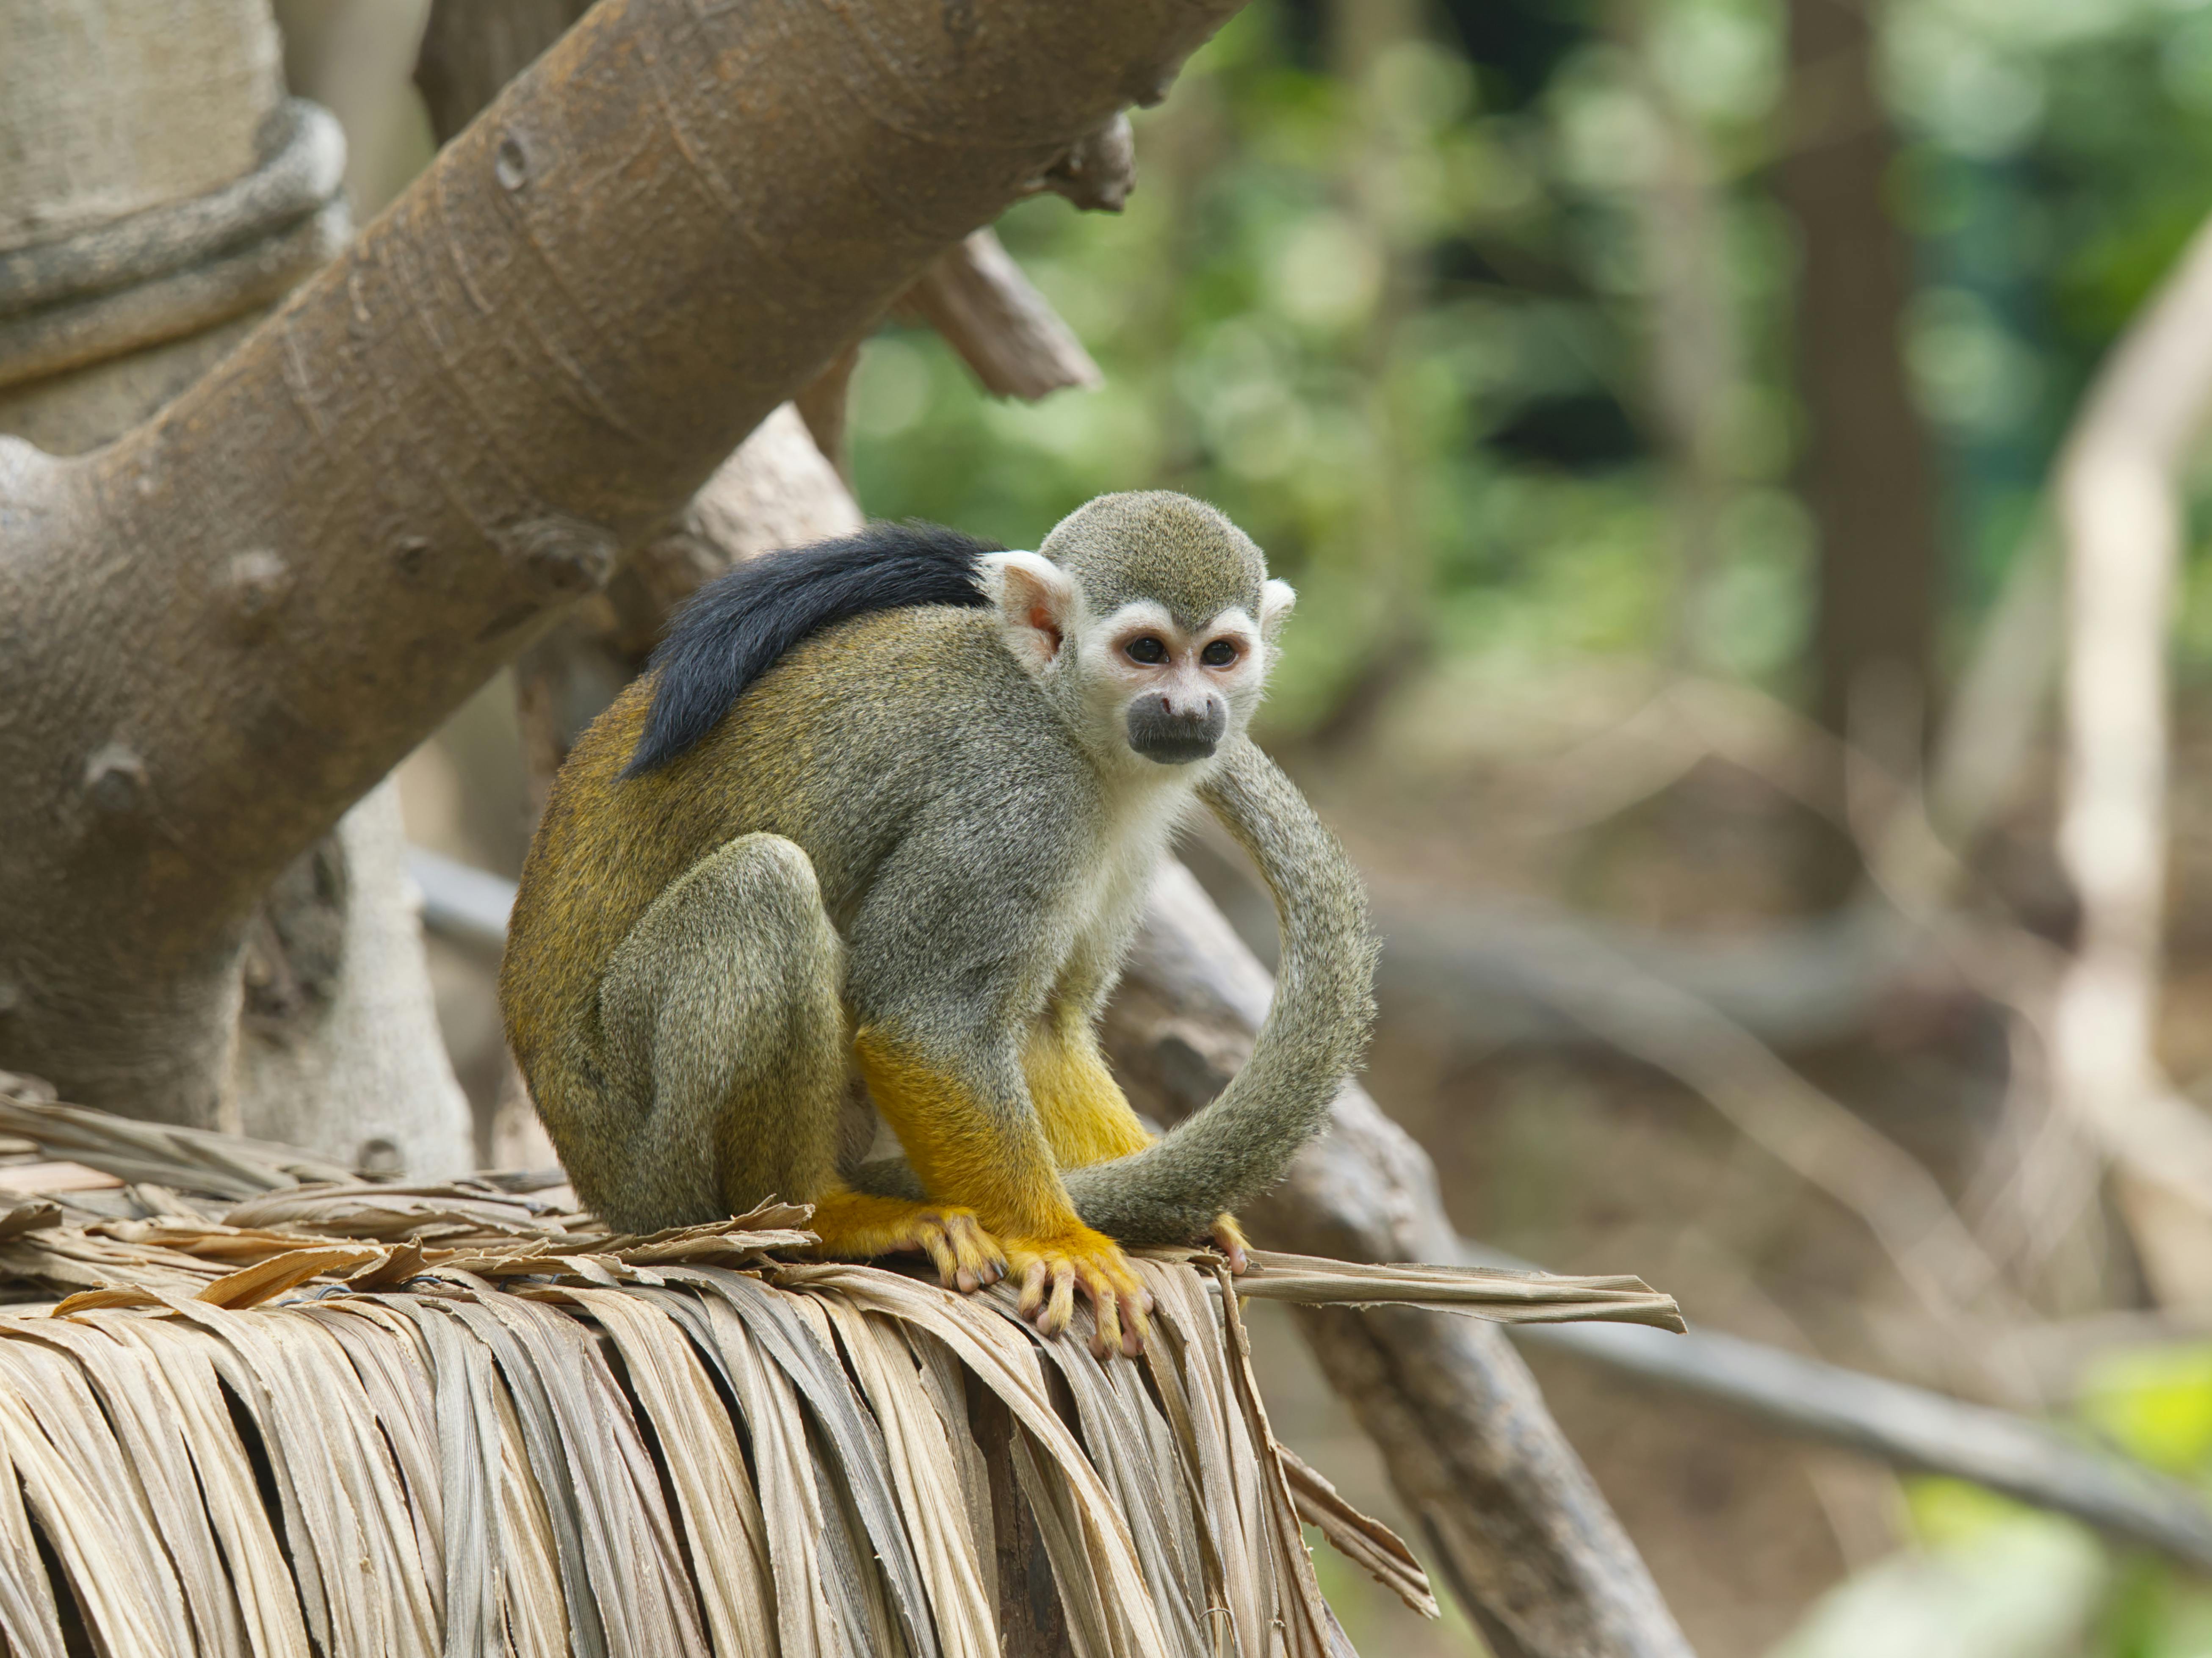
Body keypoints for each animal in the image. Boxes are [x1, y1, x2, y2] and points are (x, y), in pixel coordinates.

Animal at [500, 491, 1376, 1355]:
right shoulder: (1020, 795)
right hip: (646, 1143)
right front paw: (1061, 1241)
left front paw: (1175, 1212)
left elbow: (1043, 1029)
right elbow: (926, 1023)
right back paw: (819, 1213)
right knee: (765, 886)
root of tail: (594, 1180)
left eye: (1219, 654)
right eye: (1146, 651)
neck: (1062, 718)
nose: (1190, 708)